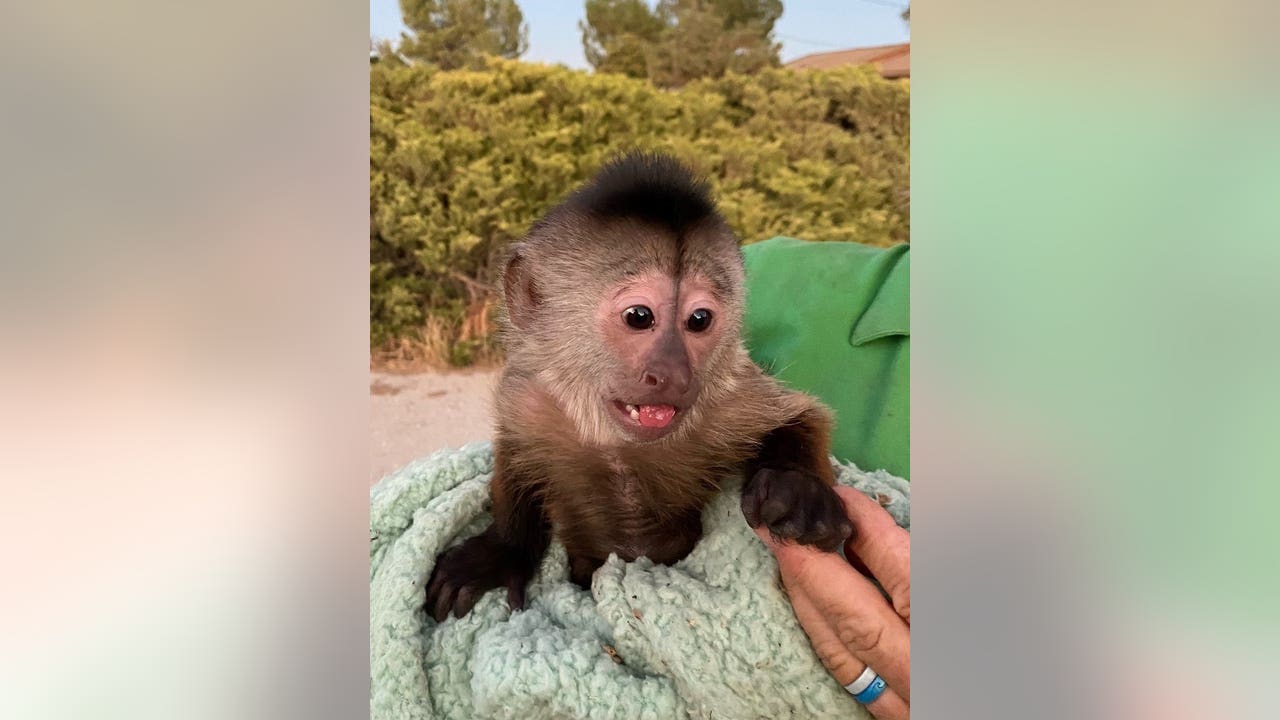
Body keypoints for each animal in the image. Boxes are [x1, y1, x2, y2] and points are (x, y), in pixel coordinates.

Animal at [425, 152, 853, 621]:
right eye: (639, 316)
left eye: (699, 320)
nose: (674, 374)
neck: (618, 444)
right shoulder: (530, 398)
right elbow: (517, 454)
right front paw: (501, 551)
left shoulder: (728, 395)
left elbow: (799, 415)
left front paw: (797, 487)